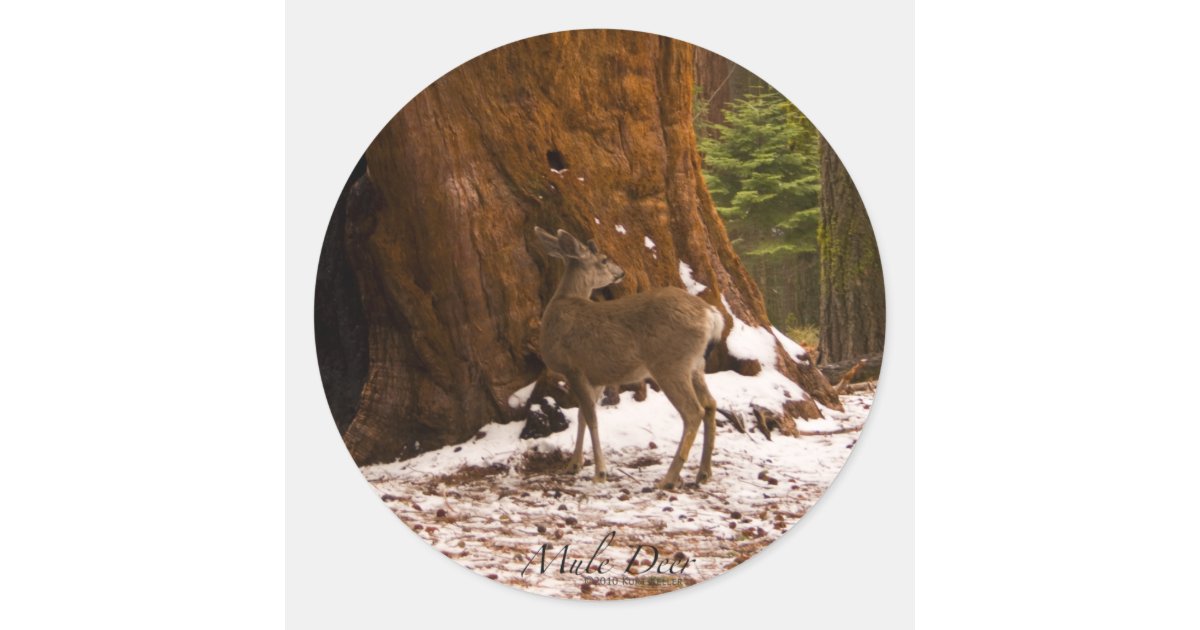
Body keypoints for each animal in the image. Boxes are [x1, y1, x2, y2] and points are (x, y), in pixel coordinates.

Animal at [532, 227, 725, 490]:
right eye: (604, 260)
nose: (621, 272)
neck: (563, 303)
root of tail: (711, 314)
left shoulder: (574, 368)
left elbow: (591, 418)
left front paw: (600, 472)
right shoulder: (595, 375)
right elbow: (583, 416)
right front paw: (574, 464)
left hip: (670, 363)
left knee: (693, 411)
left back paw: (669, 478)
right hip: (696, 364)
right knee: (710, 404)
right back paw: (703, 473)